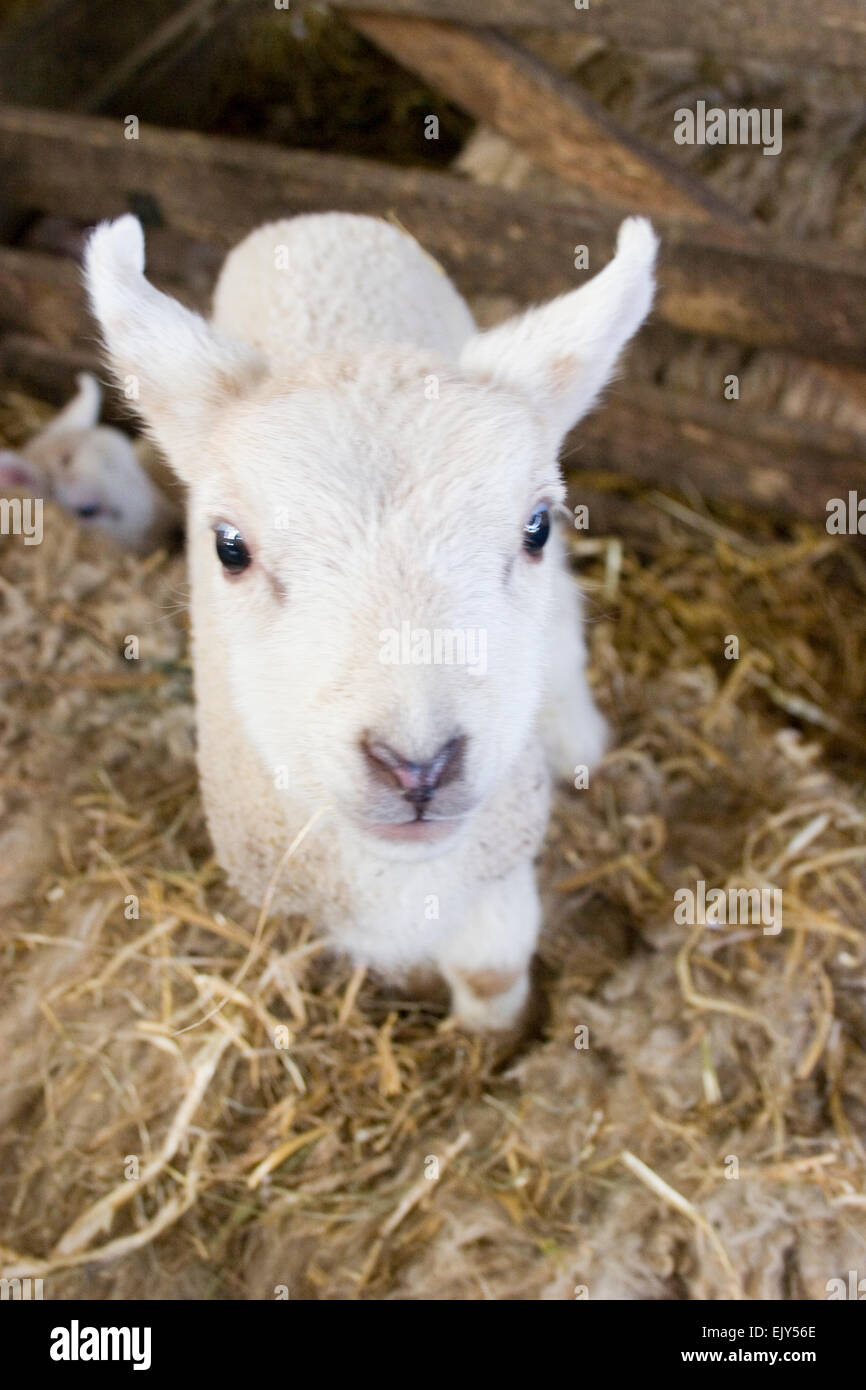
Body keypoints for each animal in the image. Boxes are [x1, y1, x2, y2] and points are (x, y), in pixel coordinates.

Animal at [84, 210, 657, 1033]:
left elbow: (490, 968)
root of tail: (321, 220)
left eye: (537, 527)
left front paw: (492, 1039)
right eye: (229, 547)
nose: (418, 767)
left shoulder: (500, 855)